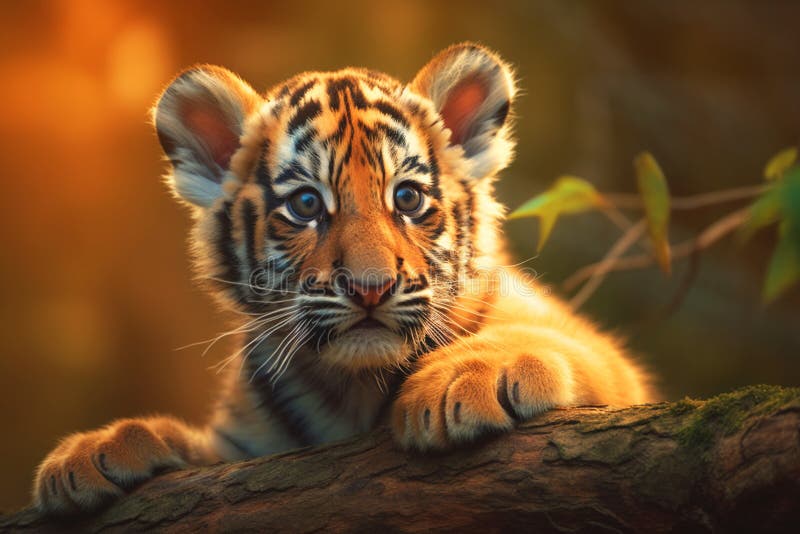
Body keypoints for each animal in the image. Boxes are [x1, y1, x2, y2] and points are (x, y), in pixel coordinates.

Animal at [33, 42, 655, 515]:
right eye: (306, 205)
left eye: (407, 198)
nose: (369, 287)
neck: (354, 386)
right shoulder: (242, 441)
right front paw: (93, 452)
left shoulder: (617, 372)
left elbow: (561, 345)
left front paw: (461, 380)